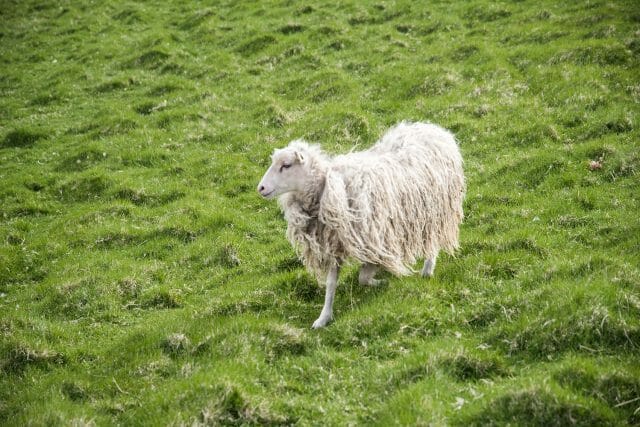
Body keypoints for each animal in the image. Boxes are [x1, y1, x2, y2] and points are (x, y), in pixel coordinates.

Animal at [257, 121, 465, 328]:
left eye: (286, 165)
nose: (261, 188)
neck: (329, 186)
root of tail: (434, 128)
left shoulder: (374, 239)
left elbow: (363, 278)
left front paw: (381, 281)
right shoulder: (335, 243)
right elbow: (332, 283)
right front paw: (324, 317)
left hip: (437, 209)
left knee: (433, 239)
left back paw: (427, 269)